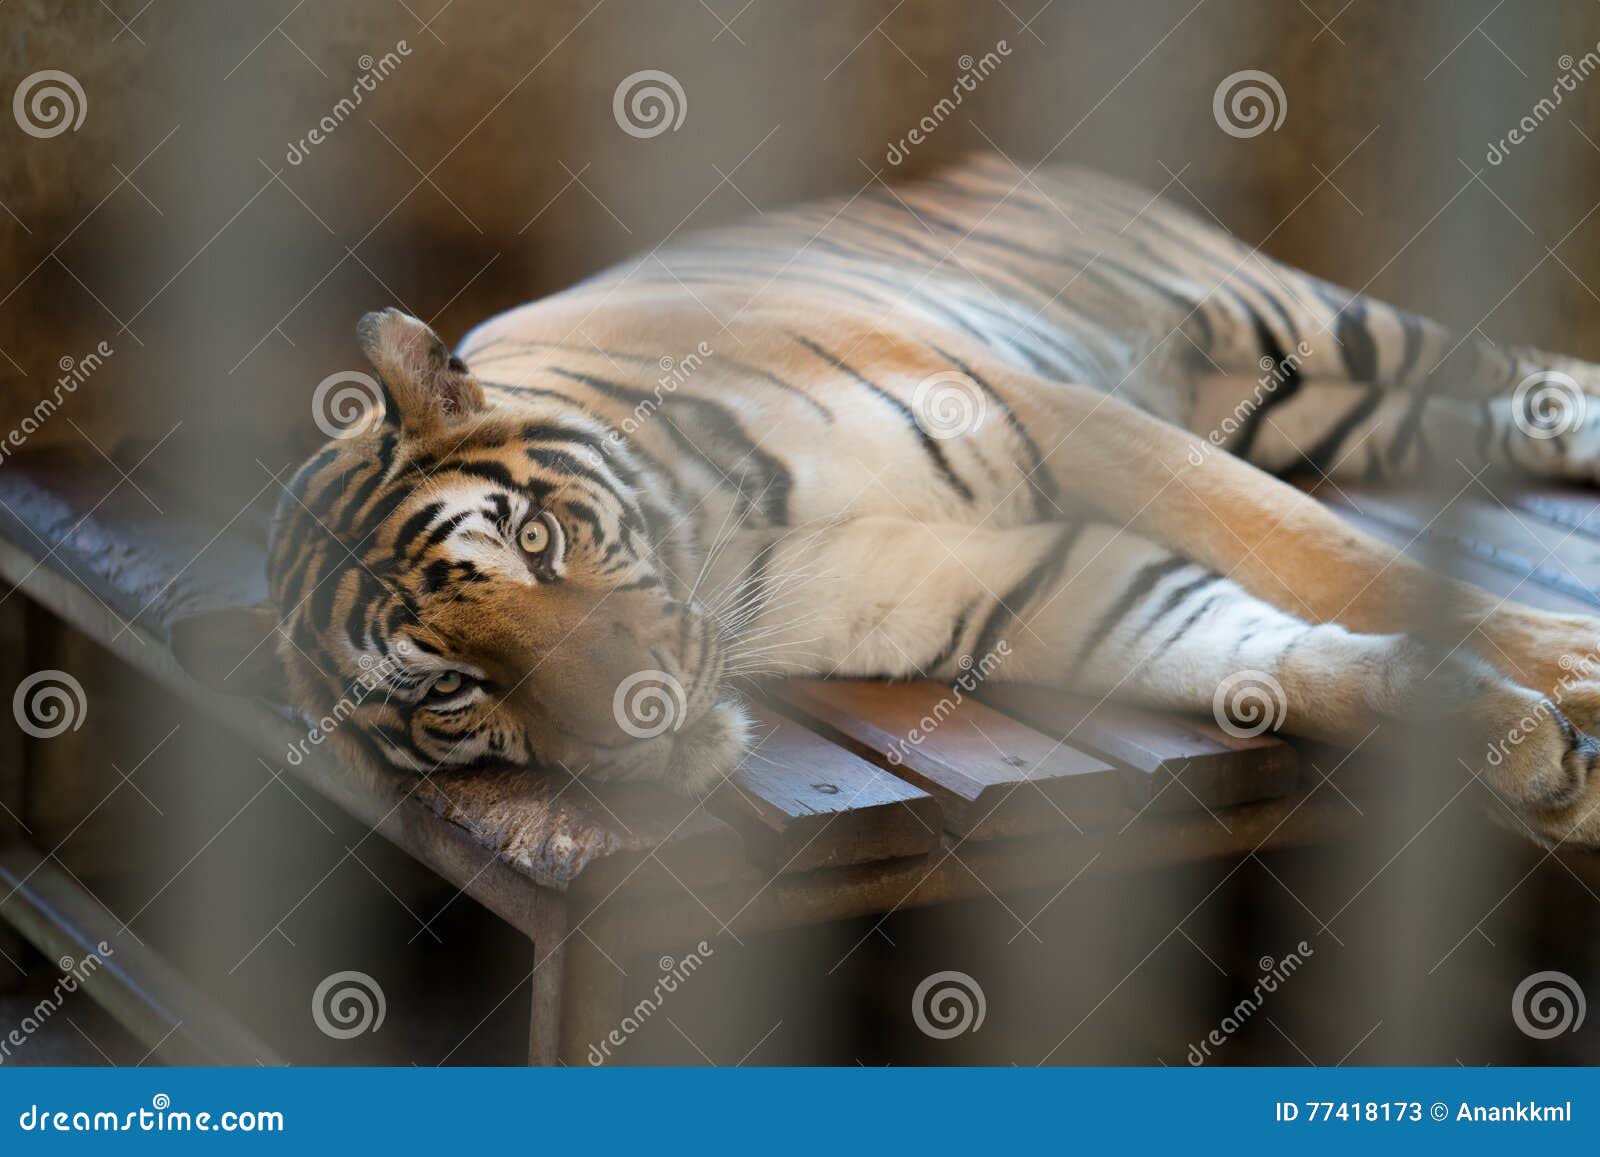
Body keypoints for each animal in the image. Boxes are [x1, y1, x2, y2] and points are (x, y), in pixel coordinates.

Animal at [176, 154, 1600, 848]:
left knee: (1537, 370)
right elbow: (1258, 652)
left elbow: (1313, 549)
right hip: (1350, 405)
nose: (640, 713)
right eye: (446, 689)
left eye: (533, 538)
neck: (730, 551)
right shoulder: (1014, 590)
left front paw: (1566, 661)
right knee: (1525, 408)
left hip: (1312, 323)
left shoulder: (1059, 422)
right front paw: (1522, 752)